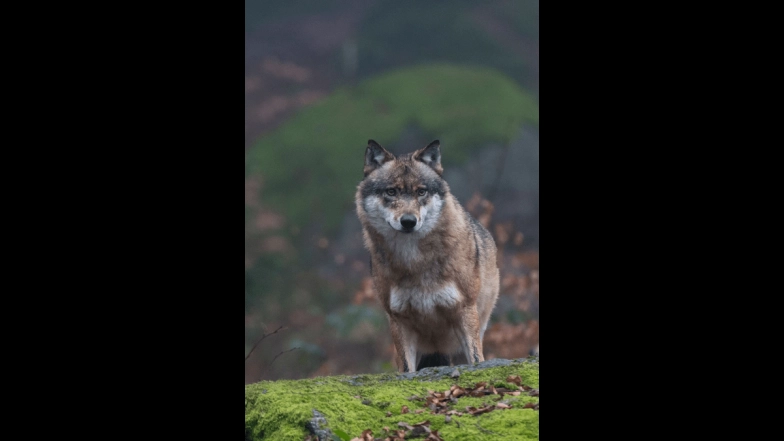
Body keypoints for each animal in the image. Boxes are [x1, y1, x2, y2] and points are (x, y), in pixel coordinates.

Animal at [355, 139, 500, 372]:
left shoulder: (465, 310)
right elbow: (407, 369)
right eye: (391, 192)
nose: (408, 221)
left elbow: (476, 359)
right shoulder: (398, 319)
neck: (415, 261)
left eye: (421, 192)